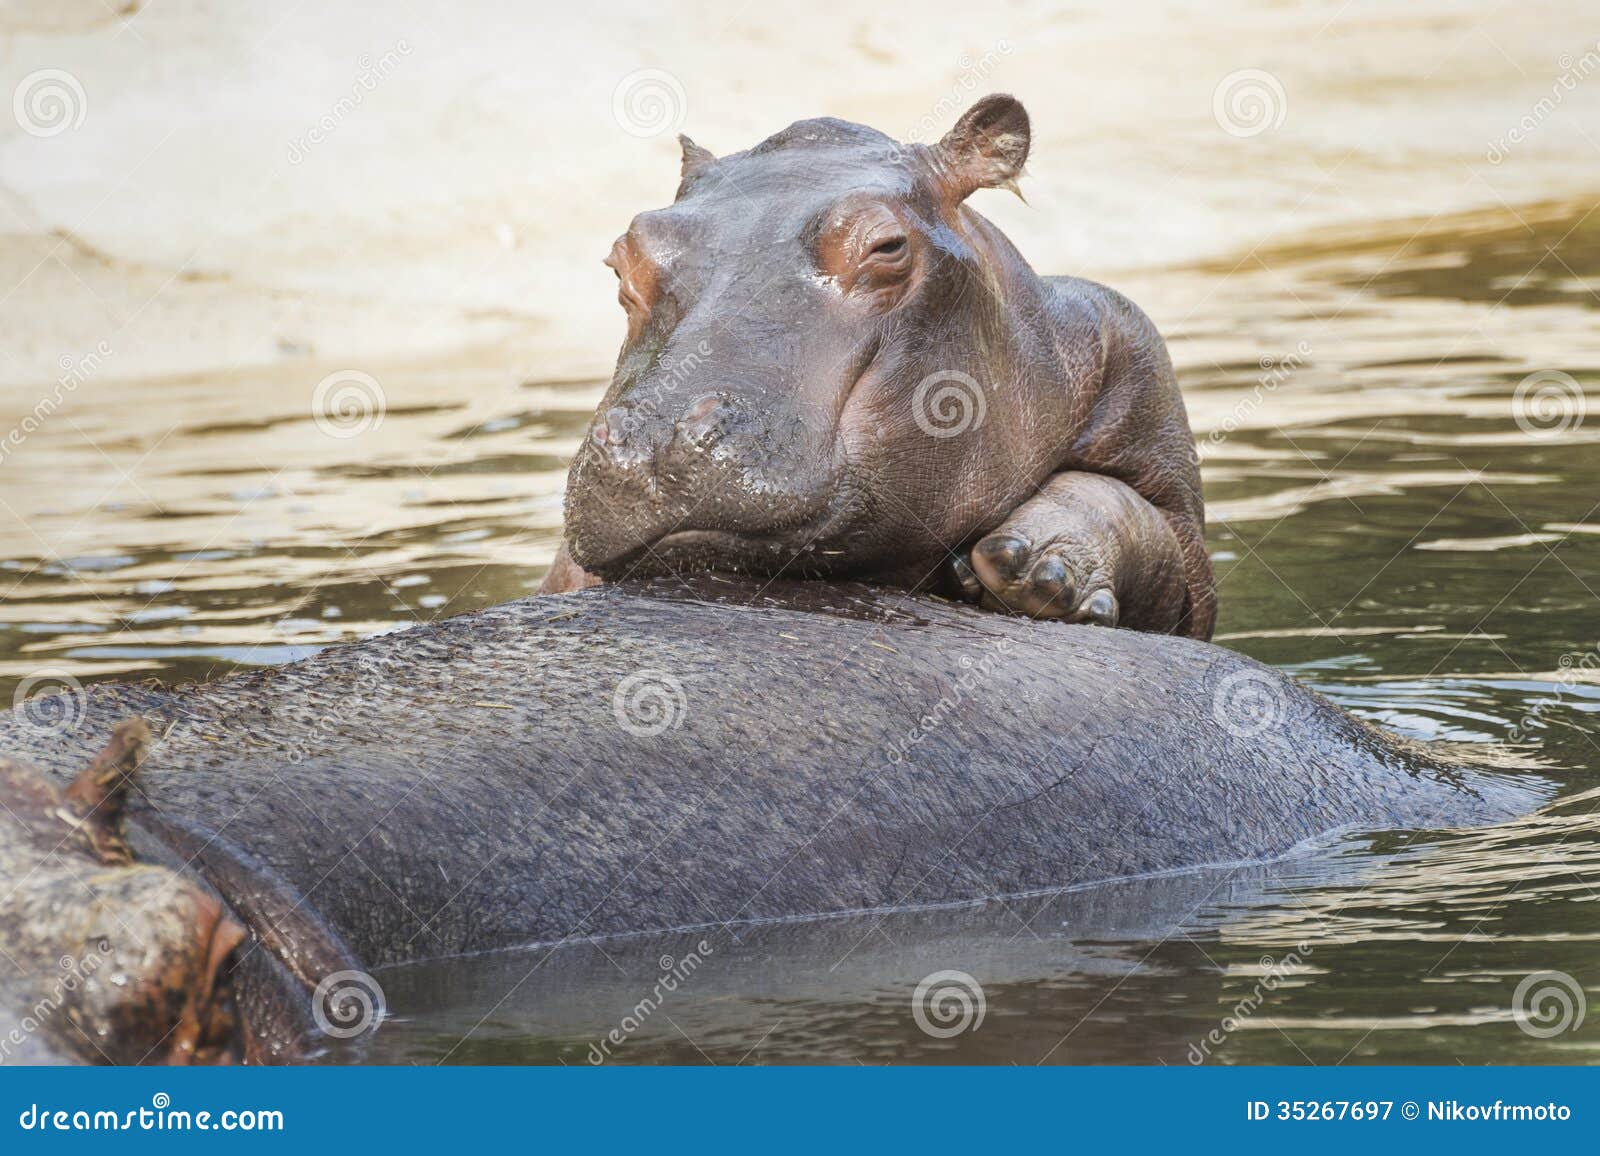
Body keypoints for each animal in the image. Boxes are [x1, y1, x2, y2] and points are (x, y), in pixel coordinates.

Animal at [544, 95, 1213, 638]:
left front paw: (1041, 564)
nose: (652, 439)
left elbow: (1153, 527)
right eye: (622, 259)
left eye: (887, 245)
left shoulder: (1134, 364)